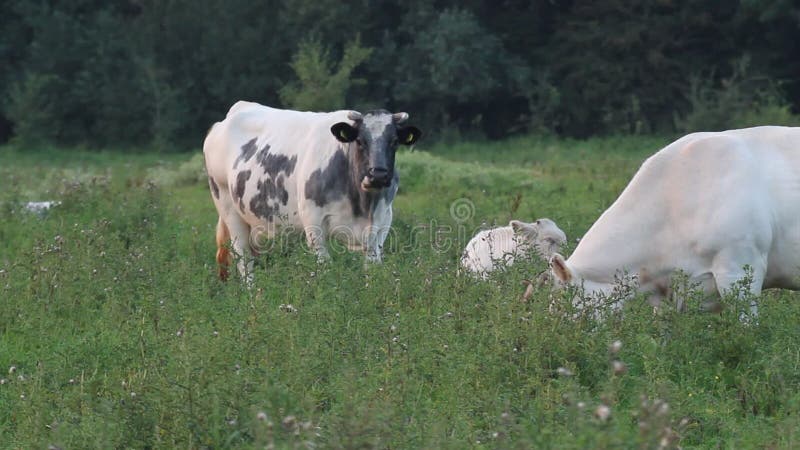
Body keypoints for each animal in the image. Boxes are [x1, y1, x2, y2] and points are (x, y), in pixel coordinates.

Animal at [203, 101, 421, 283]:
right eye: (360, 141)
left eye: (394, 142)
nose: (378, 174)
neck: (362, 203)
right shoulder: (314, 225)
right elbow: (325, 270)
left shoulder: (381, 226)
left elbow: (372, 269)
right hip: (227, 206)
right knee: (243, 258)